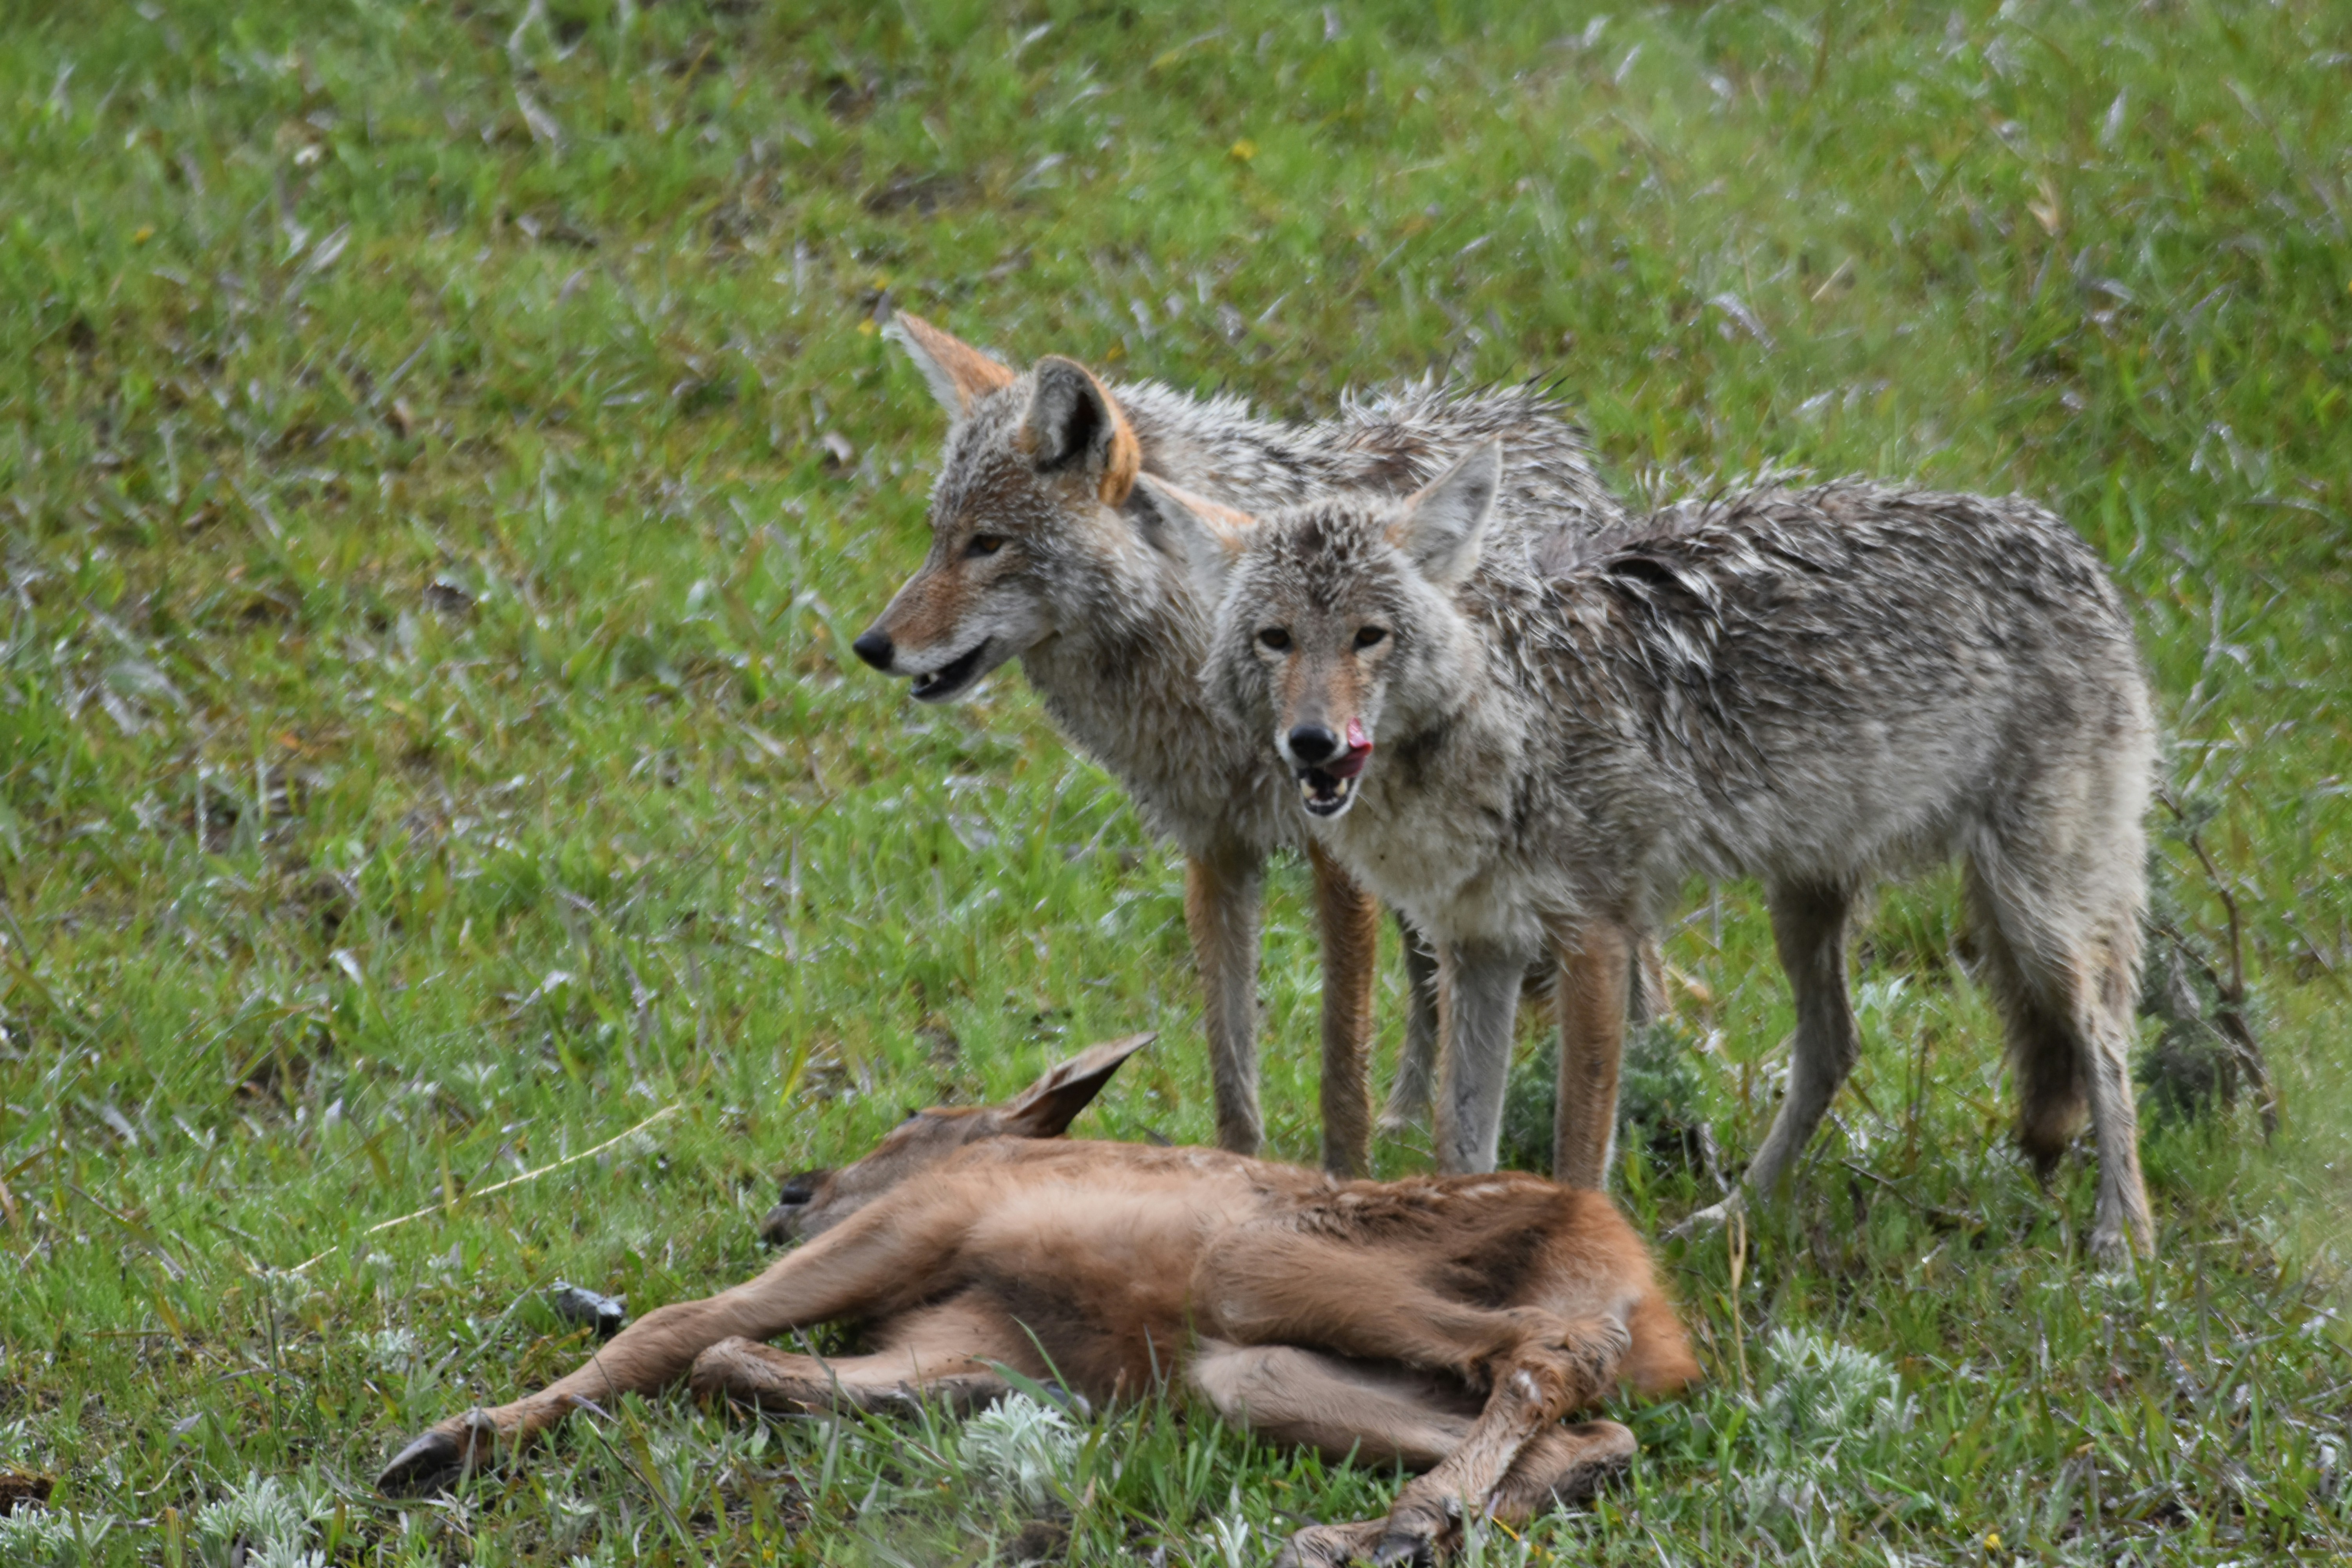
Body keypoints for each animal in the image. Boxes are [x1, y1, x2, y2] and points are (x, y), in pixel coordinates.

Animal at [378, 1036, 1701, 1565]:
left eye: (916, 1113)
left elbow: (680, 1333)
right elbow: (752, 1363)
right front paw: (963, 1403)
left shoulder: (926, 1217)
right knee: (1592, 1425)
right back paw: (1372, 1530)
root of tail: (1653, 1295)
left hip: (1261, 1261)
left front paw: (448, 1441)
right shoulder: (957, 1317)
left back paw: (1404, 1523)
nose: (793, 1190)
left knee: (1551, 1350)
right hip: (1246, 1366)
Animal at [851, 315, 1630, 1175]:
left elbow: (1340, 1067)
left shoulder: (1337, 864)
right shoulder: (1214, 852)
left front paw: (1345, 1179)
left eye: (987, 544)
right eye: (938, 538)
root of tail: (1541, 422)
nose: (871, 646)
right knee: (1431, 981)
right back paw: (1408, 1117)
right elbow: (1231, 1067)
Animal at [1149, 444, 2158, 1262]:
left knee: (2109, 1037)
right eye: (1276, 639)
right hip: (1809, 908)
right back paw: (1734, 1216)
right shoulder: (1480, 947)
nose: (1312, 744)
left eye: (1370, 636)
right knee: (1836, 1047)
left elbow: (1575, 1148)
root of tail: (2075, 550)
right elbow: (1460, 1139)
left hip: (2037, 914)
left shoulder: (1597, 937)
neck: (1509, 713)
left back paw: (2125, 1238)